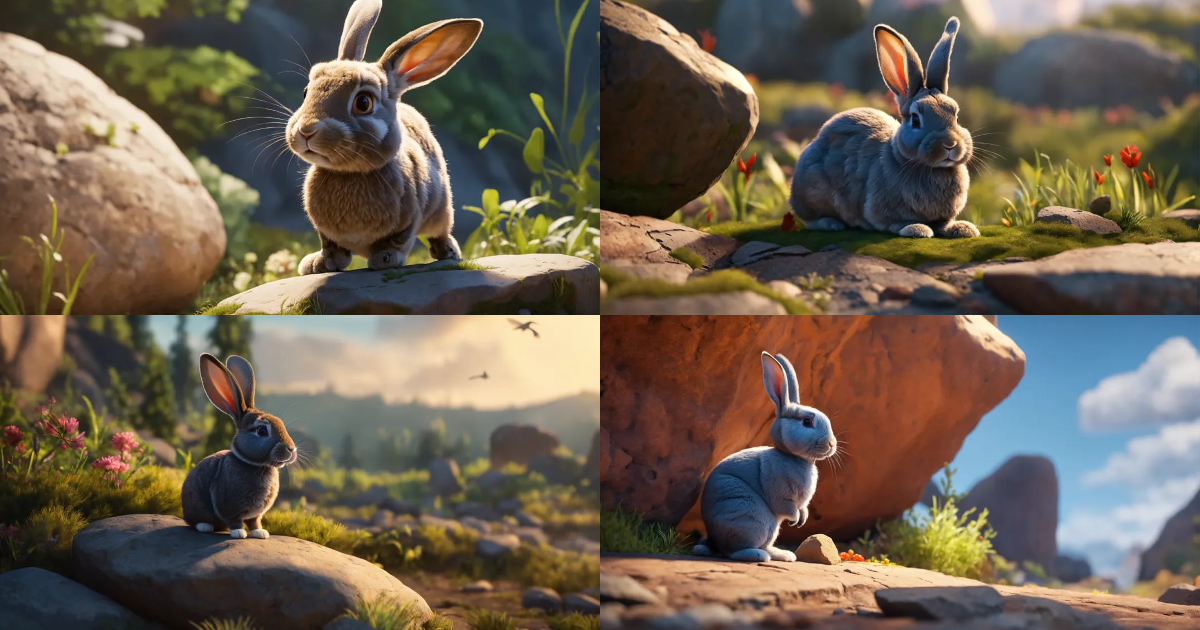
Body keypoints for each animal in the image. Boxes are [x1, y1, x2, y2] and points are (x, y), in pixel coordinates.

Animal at [182, 353, 298, 539]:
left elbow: (255, 522)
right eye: (262, 431)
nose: (291, 449)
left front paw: (261, 533)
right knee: (195, 521)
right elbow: (235, 520)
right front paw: (238, 533)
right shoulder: (228, 507)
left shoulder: (256, 515)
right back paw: (205, 526)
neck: (255, 465)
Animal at [285, 0, 483, 275]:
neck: (350, 174)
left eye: (363, 102)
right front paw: (319, 264)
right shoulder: (326, 234)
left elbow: (398, 240)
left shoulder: (409, 217)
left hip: (442, 206)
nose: (306, 130)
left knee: (440, 230)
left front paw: (385, 259)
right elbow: (331, 246)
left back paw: (447, 252)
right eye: (306, 92)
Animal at [692, 351, 837, 562]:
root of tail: (713, 539)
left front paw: (802, 519)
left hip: (771, 528)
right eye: (807, 422)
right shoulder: (781, 493)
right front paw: (795, 521)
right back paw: (759, 555)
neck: (795, 458)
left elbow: (803, 509)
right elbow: (788, 507)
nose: (832, 444)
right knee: (731, 551)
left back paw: (784, 555)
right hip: (753, 517)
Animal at [788, 17, 979, 239]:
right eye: (915, 120)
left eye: (955, 114)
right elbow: (896, 223)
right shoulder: (881, 211)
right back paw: (830, 223)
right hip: (813, 189)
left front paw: (964, 229)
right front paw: (918, 229)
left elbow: (944, 223)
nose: (950, 144)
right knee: (810, 218)